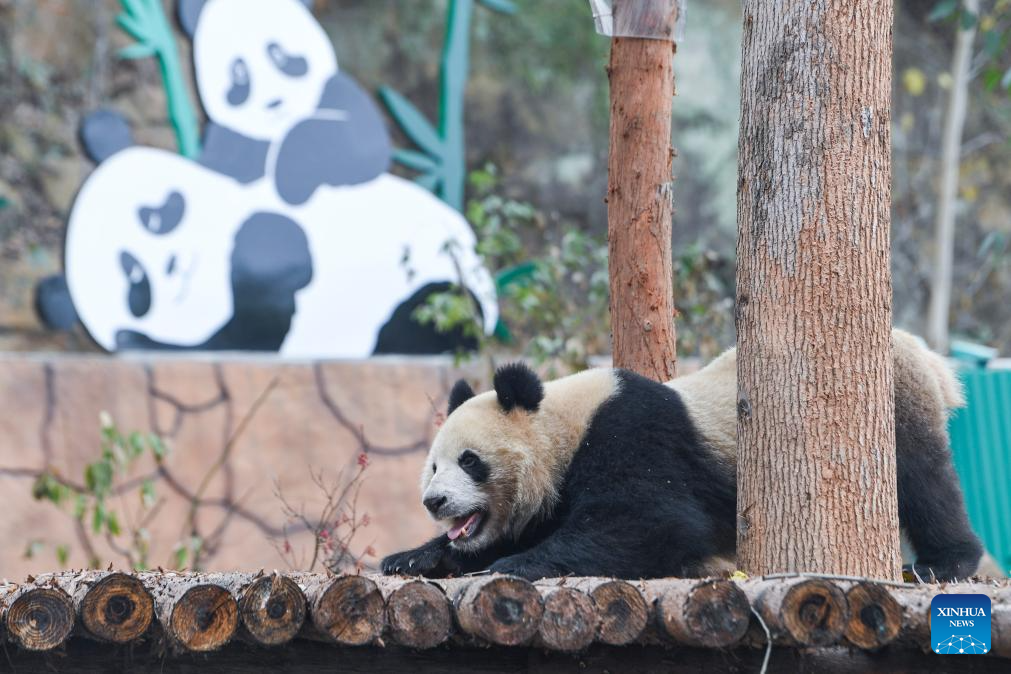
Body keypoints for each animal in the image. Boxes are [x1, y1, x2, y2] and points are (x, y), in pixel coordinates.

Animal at [381, 329, 983, 581]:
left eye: (470, 461)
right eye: (432, 466)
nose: (435, 502)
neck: (562, 425)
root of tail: (919, 350)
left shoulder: (632, 434)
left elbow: (652, 520)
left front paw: (515, 564)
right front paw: (411, 557)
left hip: (896, 406)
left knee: (926, 481)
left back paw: (944, 563)